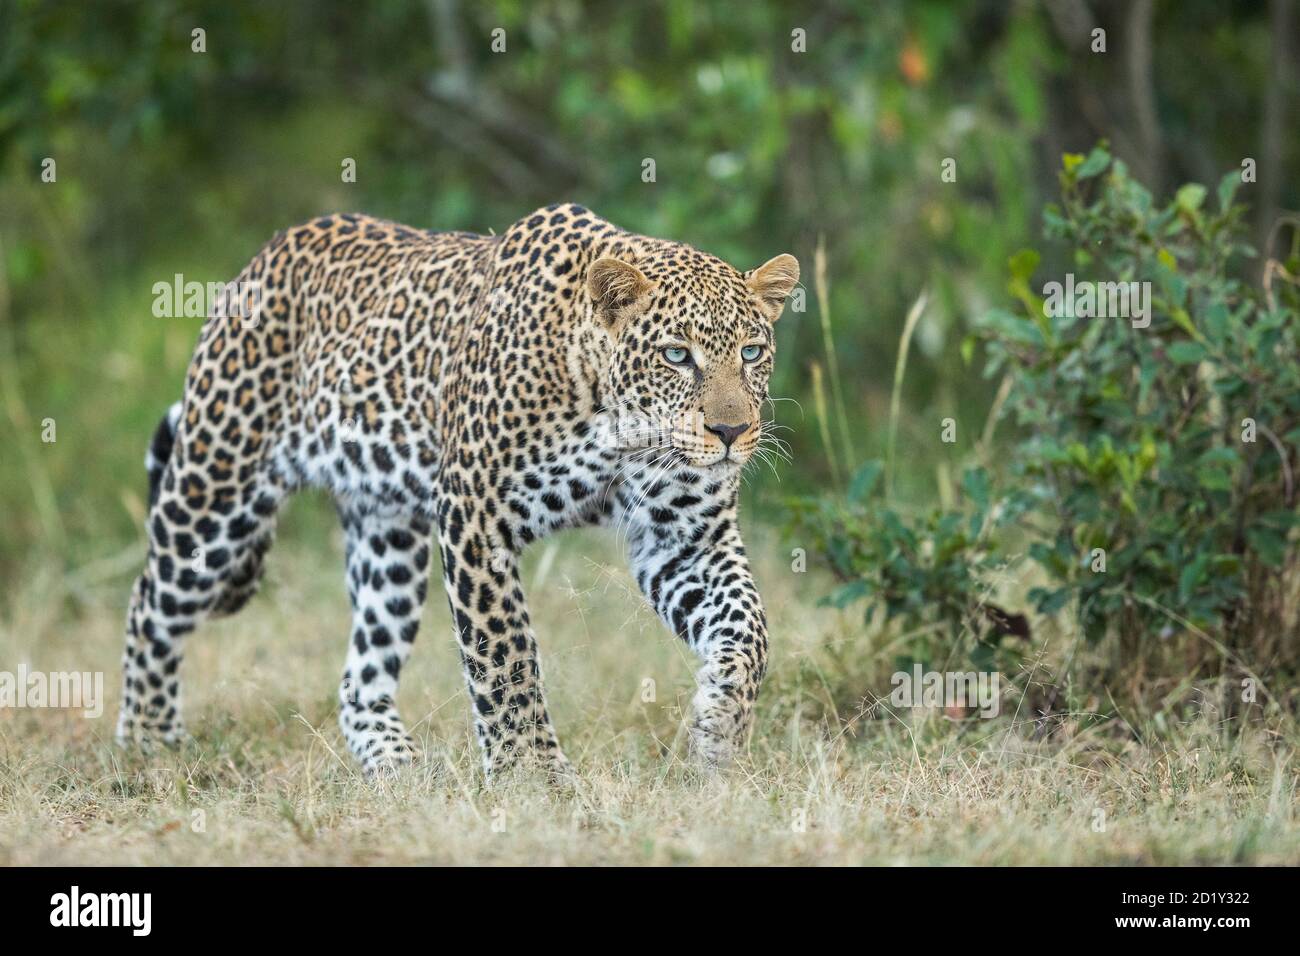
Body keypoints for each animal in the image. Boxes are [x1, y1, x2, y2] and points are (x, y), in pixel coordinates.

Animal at [115, 203, 800, 777]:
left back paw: (396, 766)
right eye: (676, 355)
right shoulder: (475, 517)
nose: (731, 431)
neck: (619, 424)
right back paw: (148, 742)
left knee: (361, 674)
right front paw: (531, 777)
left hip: (387, 537)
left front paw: (719, 730)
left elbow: (751, 630)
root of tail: (270, 251)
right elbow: (504, 654)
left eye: (751, 351)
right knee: (149, 604)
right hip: (215, 496)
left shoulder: (685, 539)